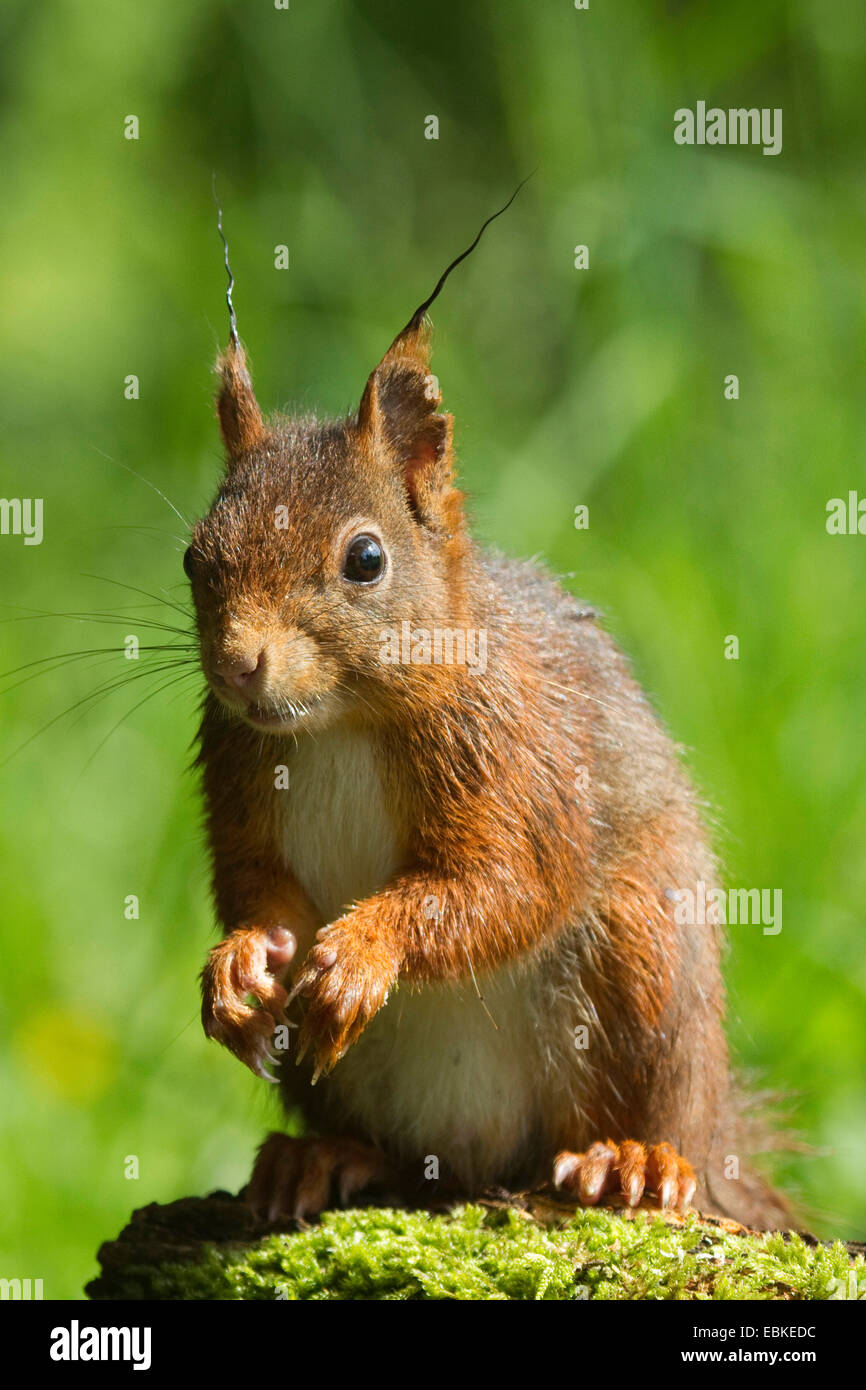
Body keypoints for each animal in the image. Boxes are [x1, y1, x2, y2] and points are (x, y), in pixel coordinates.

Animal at [190, 207, 790, 1230]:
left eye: (365, 560)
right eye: (196, 557)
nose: (239, 665)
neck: (335, 725)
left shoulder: (518, 758)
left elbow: (507, 885)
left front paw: (363, 951)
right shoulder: (237, 775)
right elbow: (258, 893)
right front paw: (237, 968)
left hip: (642, 958)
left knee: (647, 1106)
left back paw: (636, 1160)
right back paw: (322, 1157)